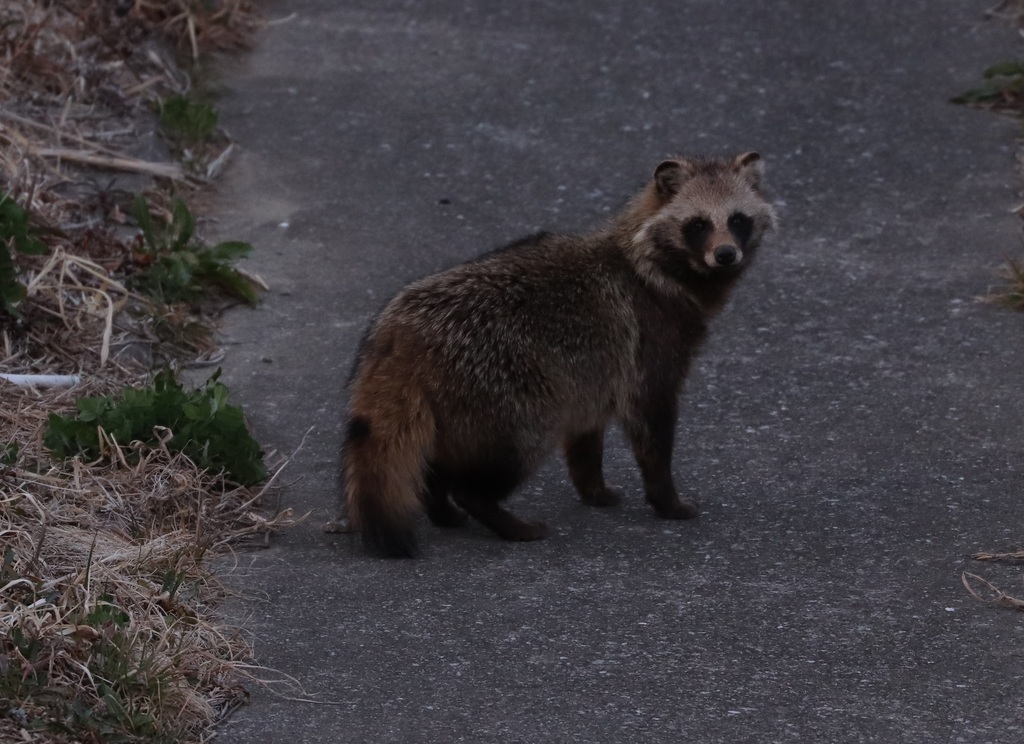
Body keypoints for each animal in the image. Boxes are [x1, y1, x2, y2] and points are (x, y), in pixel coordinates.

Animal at [344, 152, 777, 557]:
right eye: (699, 224)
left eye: (738, 220)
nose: (726, 255)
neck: (650, 261)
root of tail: (401, 333)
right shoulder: (648, 344)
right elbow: (651, 422)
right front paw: (665, 497)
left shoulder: (594, 368)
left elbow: (586, 432)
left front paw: (593, 487)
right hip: (502, 384)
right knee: (521, 441)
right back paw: (492, 512)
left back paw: (440, 504)